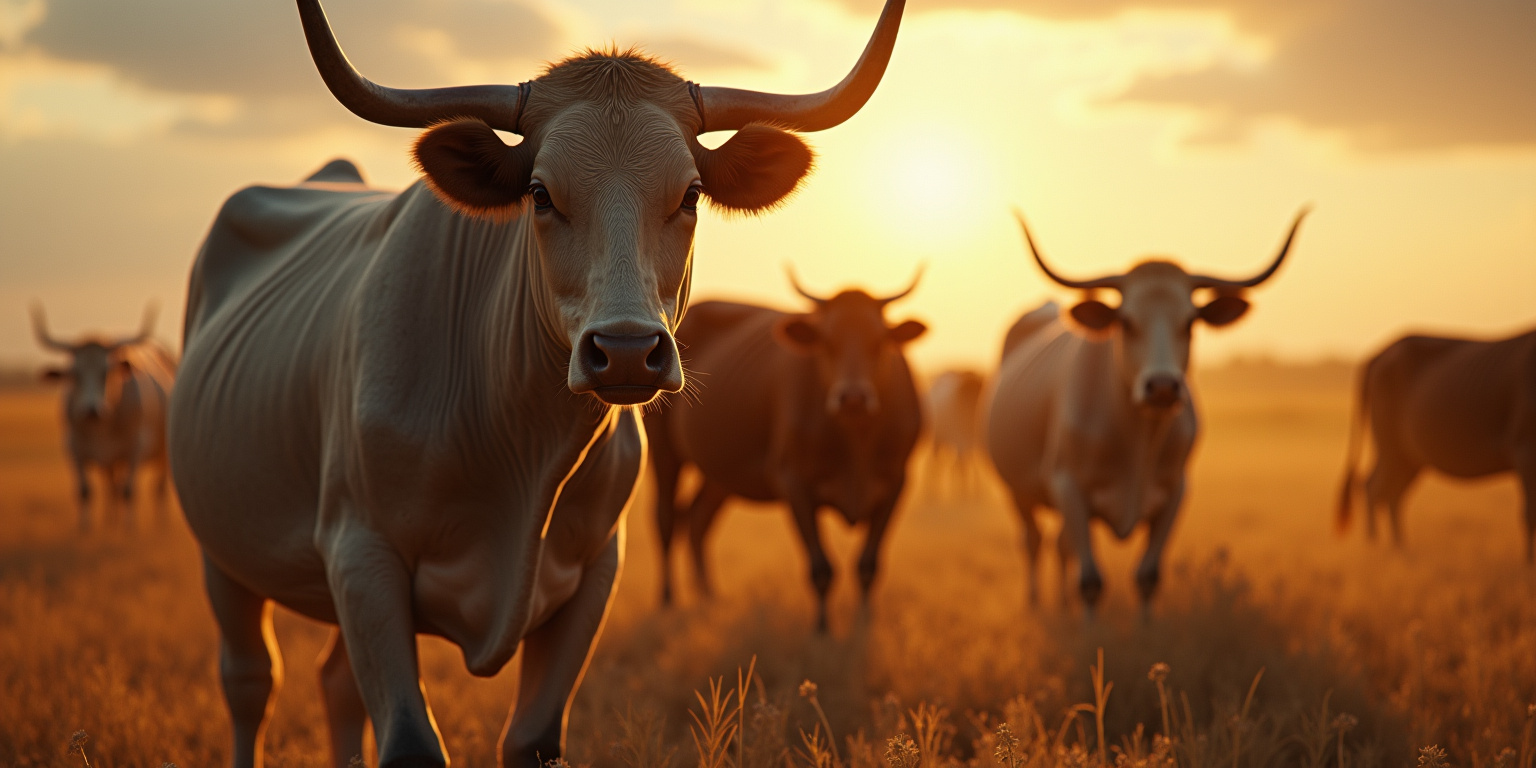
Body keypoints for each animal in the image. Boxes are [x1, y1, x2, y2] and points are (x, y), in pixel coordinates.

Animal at [32, 304, 175, 531]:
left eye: (107, 372)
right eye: (74, 374)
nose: (91, 410)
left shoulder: (135, 447)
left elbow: (129, 490)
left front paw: (129, 528)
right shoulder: (74, 447)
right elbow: (85, 490)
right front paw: (85, 528)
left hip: (160, 453)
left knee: (157, 487)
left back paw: (161, 524)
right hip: (110, 460)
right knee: (111, 487)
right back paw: (111, 521)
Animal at [644, 270, 926, 631]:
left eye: (880, 342)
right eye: (826, 342)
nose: (853, 398)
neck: (857, 441)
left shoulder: (896, 484)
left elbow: (868, 565)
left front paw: (864, 622)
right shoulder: (795, 484)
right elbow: (821, 568)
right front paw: (822, 631)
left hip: (720, 474)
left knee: (697, 520)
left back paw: (709, 597)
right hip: (664, 449)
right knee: (666, 519)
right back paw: (668, 600)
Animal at [984, 208, 1307, 614]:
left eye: (1190, 321)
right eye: (1126, 321)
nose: (1163, 387)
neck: (1137, 436)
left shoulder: (1174, 494)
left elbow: (1147, 577)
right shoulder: (1068, 488)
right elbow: (1090, 581)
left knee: (1060, 546)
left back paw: (1062, 607)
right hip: (1018, 491)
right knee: (1034, 541)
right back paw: (1036, 606)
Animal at [1336, 329, 1536, 558]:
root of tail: (1377, 355)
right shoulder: (1525, 449)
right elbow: (1530, 513)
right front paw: (1528, 564)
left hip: (1408, 457)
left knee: (1393, 494)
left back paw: (1400, 549)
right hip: (1391, 448)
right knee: (1373, 488)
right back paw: (1375, 549)